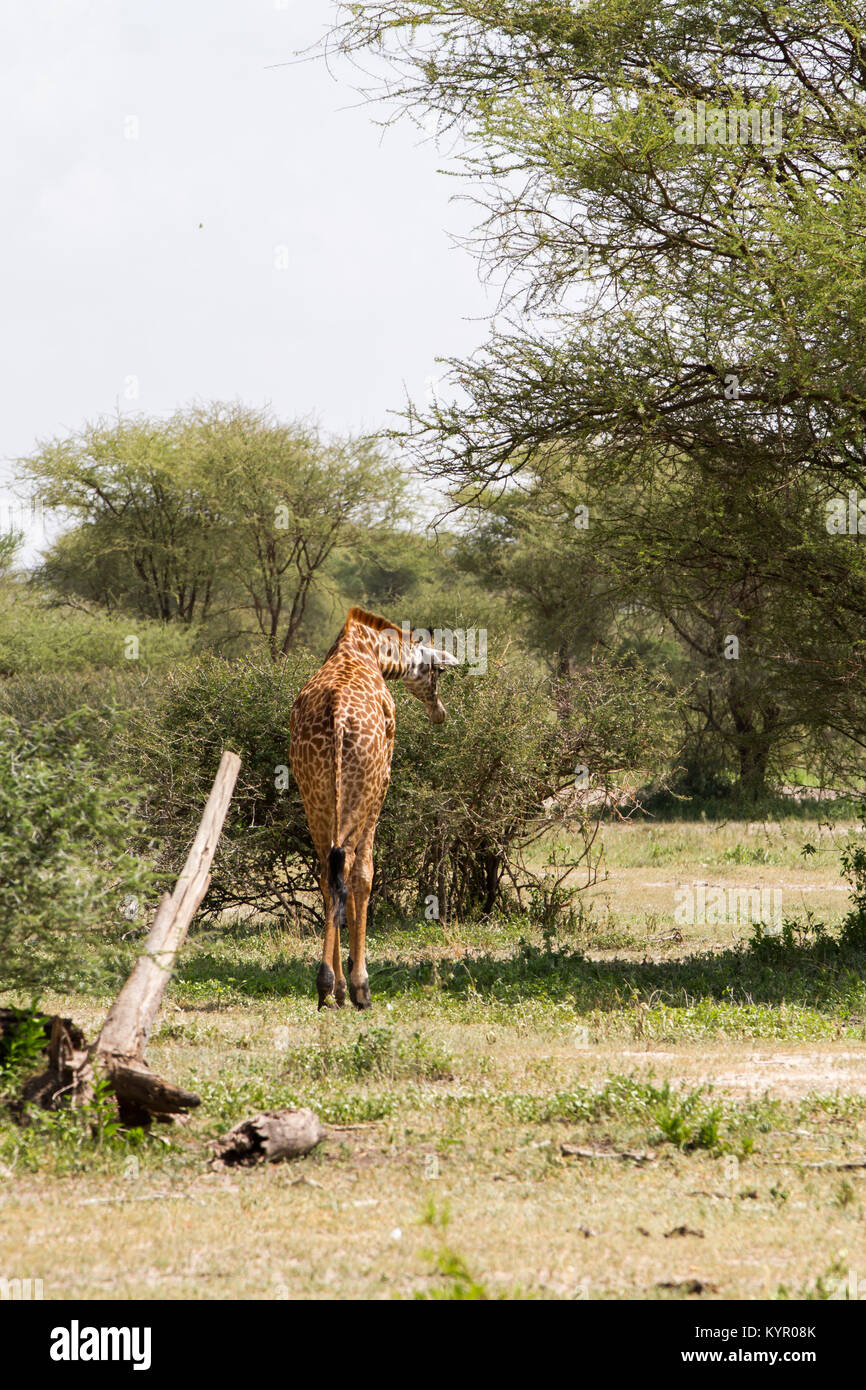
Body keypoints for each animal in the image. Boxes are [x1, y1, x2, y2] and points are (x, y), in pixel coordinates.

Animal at [289, 606, 459, 1010]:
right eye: (439, 672)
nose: (440, 713)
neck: (369, 651)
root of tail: (336, 717)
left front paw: (340, 987)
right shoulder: (383, 781)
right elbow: (363, 877)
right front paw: (357, 986)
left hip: (314, 795)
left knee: (328, 871)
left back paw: (329, 986)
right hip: (365, 792)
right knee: (355, 868)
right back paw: (351, 986)